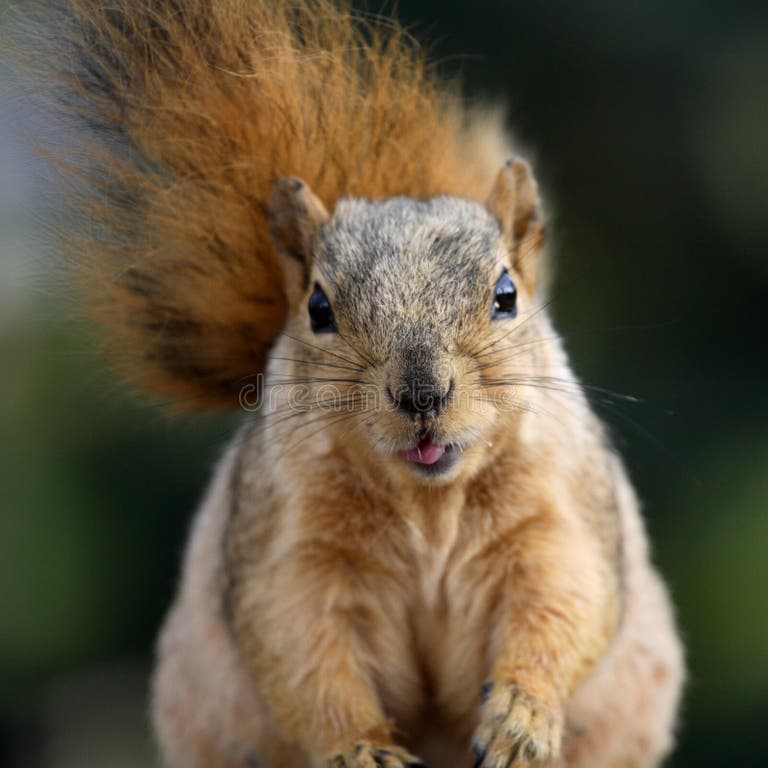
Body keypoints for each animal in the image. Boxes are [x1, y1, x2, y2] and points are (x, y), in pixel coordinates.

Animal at [21, 1, 684, 767]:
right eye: (318, 308)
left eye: (507, 295)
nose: (422, 394)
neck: (430, 505)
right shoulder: (290, 552)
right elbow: (308, 658)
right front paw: (359, 748)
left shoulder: (558, 517)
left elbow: (564, 608)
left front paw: (521, 717)